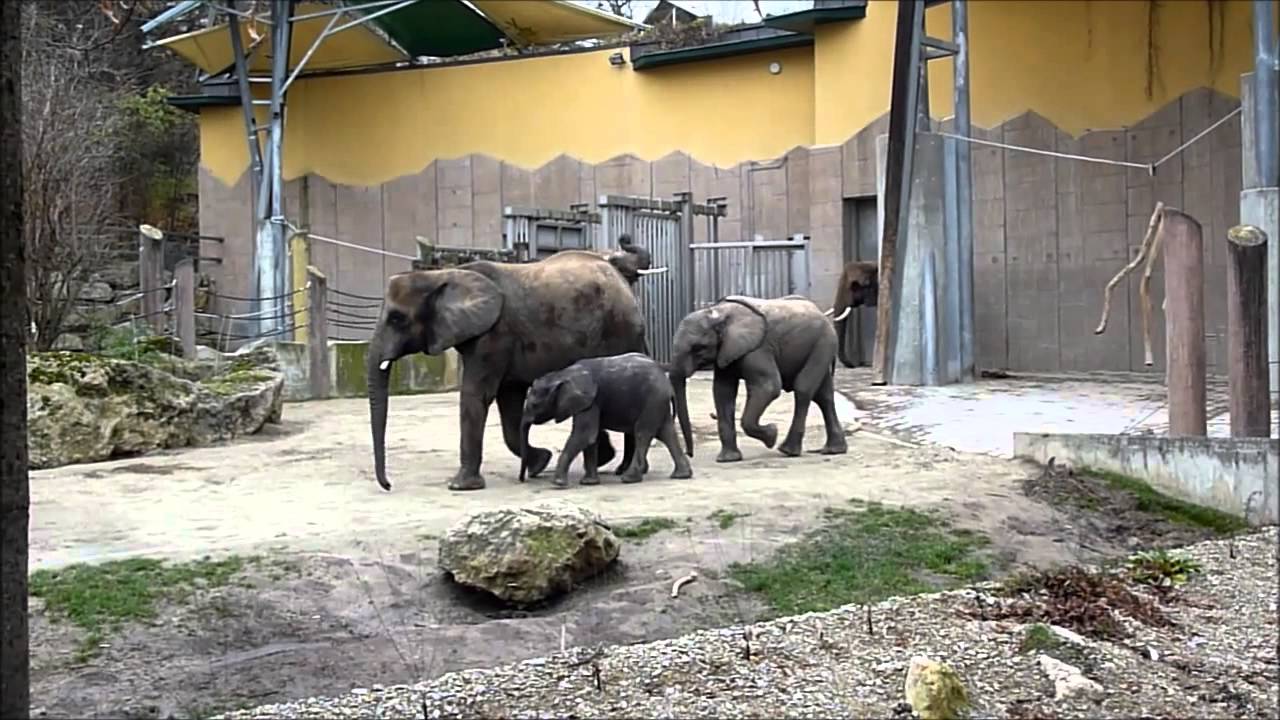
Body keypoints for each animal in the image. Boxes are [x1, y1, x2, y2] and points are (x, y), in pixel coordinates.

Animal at [367, 250, 648, 492]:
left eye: (397, 319)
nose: (389, 486)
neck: (442, 275)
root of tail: (621, 278)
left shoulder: (494, 335)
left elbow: (477, 395)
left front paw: (461, 487)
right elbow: (509, 402)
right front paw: (539, 463)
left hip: (619, 330)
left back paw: (623, 470)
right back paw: (608, 461)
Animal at [518, 352, 692, 487]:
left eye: (534, 405)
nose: (524, 479)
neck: (561, 375)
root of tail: (666, 382)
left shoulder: (590, 401)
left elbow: (584, 435)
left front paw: (558, 484)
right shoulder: (587, 403)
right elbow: (590, 439)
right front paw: (589, 483)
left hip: (653, 400)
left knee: (643, 433)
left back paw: (629, 479)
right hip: (657, 402)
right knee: (666, 433)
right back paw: (681, 475)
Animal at [668, 295, 848, 462]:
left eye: (699, 348)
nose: (689, 454)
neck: (718, 313)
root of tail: (821, 312)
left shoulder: (757, 349)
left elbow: (769, 387)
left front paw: (772, 434)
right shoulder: (726, 351)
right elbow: (723, 392)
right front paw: (728, 459)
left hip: (823, 343)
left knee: (803, 389)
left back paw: (787, 451)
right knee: (823, 396)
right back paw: (833, 450)